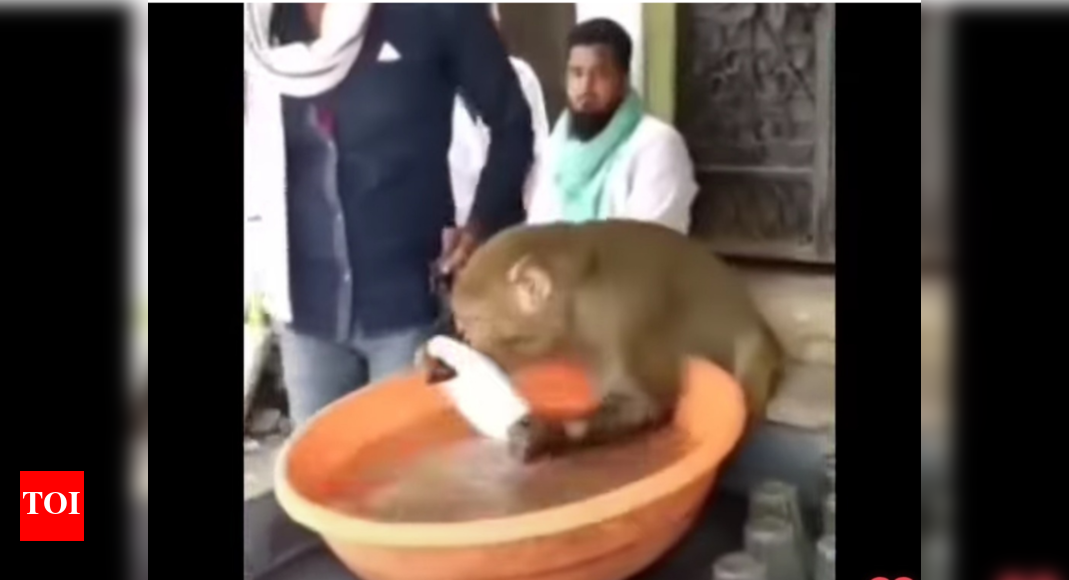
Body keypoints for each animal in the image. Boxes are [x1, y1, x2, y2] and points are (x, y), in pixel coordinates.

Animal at [424, 219, 785, 462]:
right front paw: (437, 361)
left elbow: (644, 403)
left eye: (471, 322)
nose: (464, 334)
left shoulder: (620, 317)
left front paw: (546, 433)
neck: (577, 288)